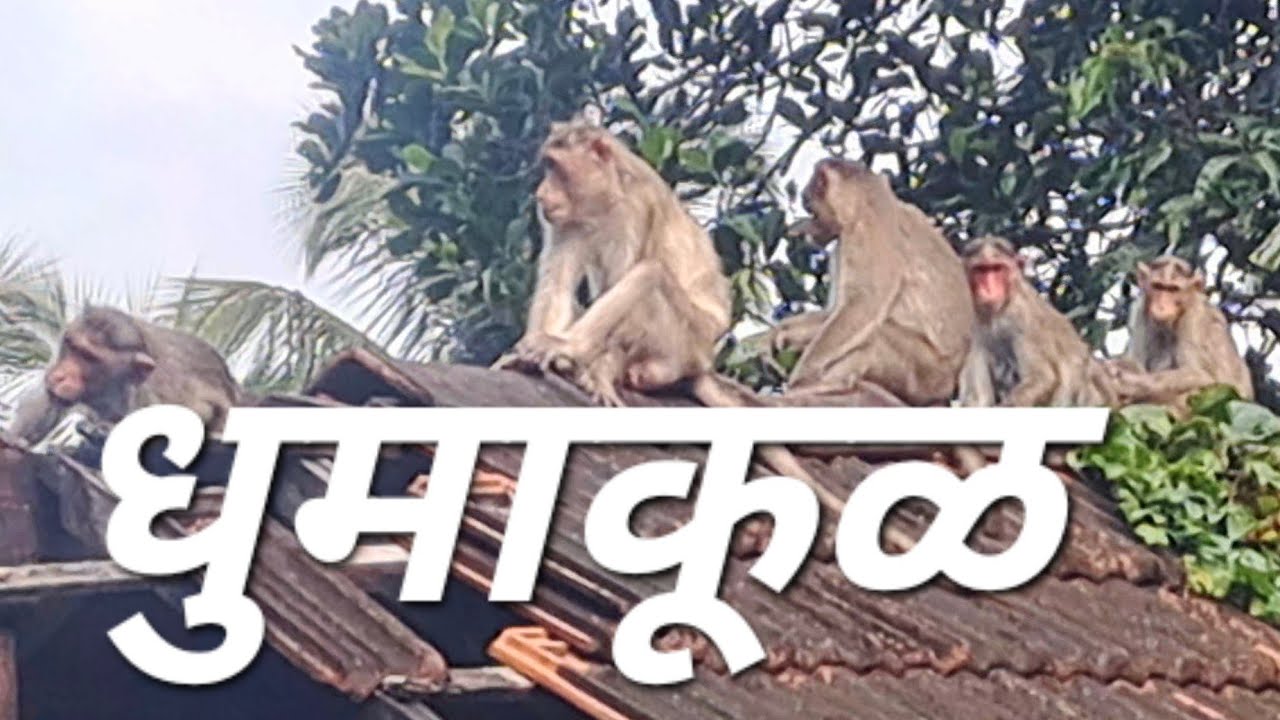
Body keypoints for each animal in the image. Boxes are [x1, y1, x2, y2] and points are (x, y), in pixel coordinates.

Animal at [772, 158, 974, 406]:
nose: (805, 226)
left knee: (875, 338)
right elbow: (836, 311)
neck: (867, 198)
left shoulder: (865, 229)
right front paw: (782, 332)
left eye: (809, 202)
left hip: (926, 372)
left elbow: (865, 302)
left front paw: (801, 376)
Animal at [957, 236, 1118, 407]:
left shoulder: (1022, 316)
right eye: (980, 270)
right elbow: (977, 397)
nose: (989, 290)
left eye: (997, 269)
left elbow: (1042, 378)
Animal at [1111, 256, 1253, 413]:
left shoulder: (1193, 318)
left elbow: (1200, 376)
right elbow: (1135, 362)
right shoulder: (1139, 312)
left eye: (1173, 289)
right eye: (1158, 286)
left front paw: (1131, 383)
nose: (1161, 307)